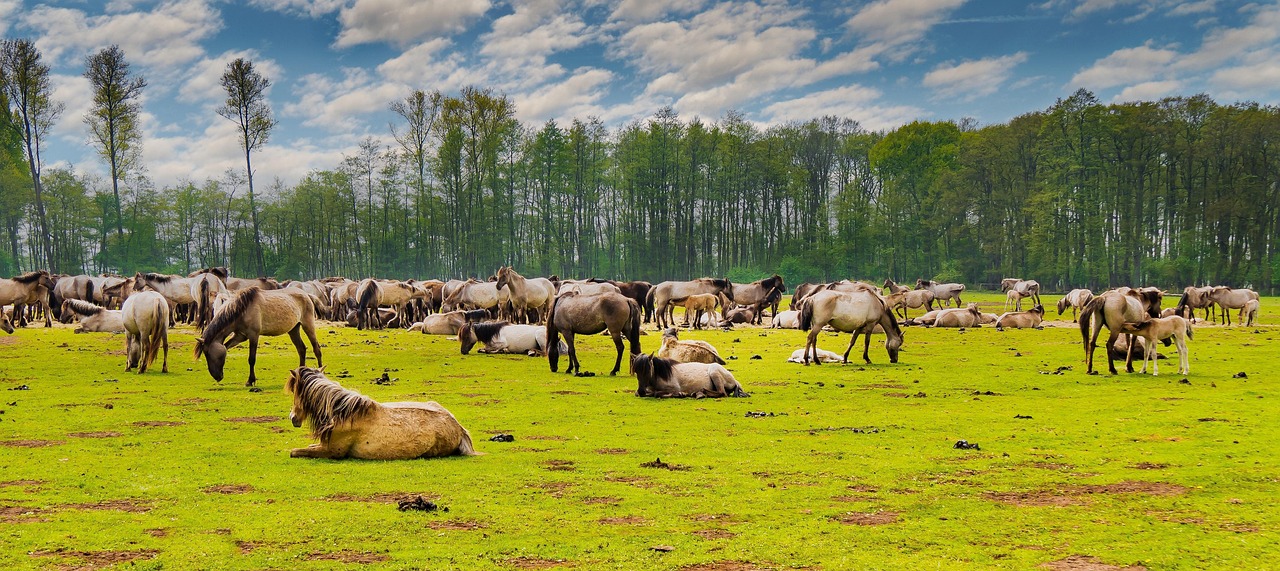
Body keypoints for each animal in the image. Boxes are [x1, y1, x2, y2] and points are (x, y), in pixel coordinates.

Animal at [194, 287, 324, 386]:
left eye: (207, 353)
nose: (217, 376)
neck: (243, 309)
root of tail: (306, 294)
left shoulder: (253, 335)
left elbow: (251, 359)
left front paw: (250, 381)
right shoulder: (240, 336)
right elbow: (226, 346)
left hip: (308, 325)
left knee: (316, 348)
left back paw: (320, 372)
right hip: (293, 330)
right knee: (301, 349)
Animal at [285, 367, 478, 460]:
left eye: (295, 391)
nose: (292, 418)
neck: (344, 412)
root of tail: (459, 428)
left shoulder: (331, 452)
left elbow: (295, 451)